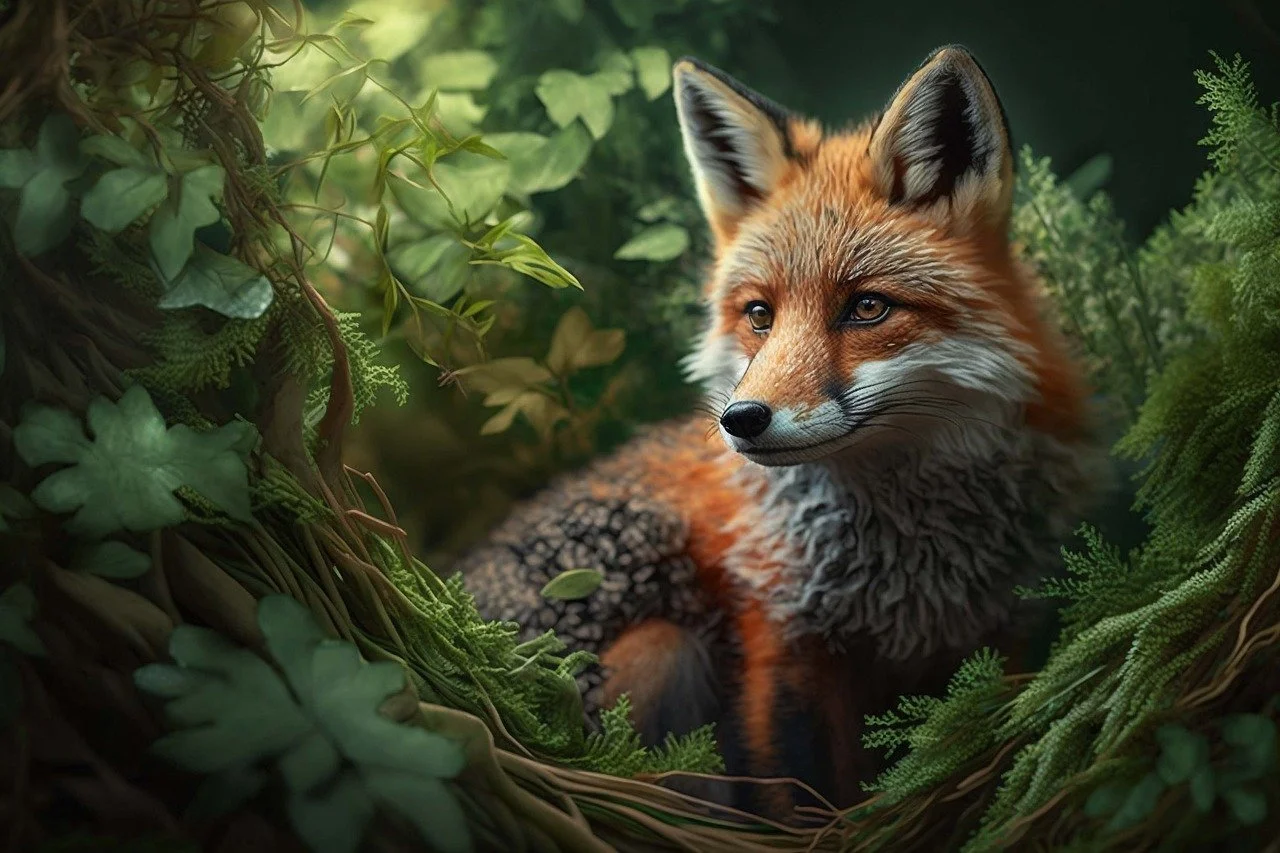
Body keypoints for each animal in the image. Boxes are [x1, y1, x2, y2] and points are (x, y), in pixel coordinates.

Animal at [457, 45, 1105, 808]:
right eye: (760, 314)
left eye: (867, 307)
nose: (741, 421)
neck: (910, 567)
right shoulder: (779, 638)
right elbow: (803, 791)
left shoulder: (1000, 629)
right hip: (662, 652)